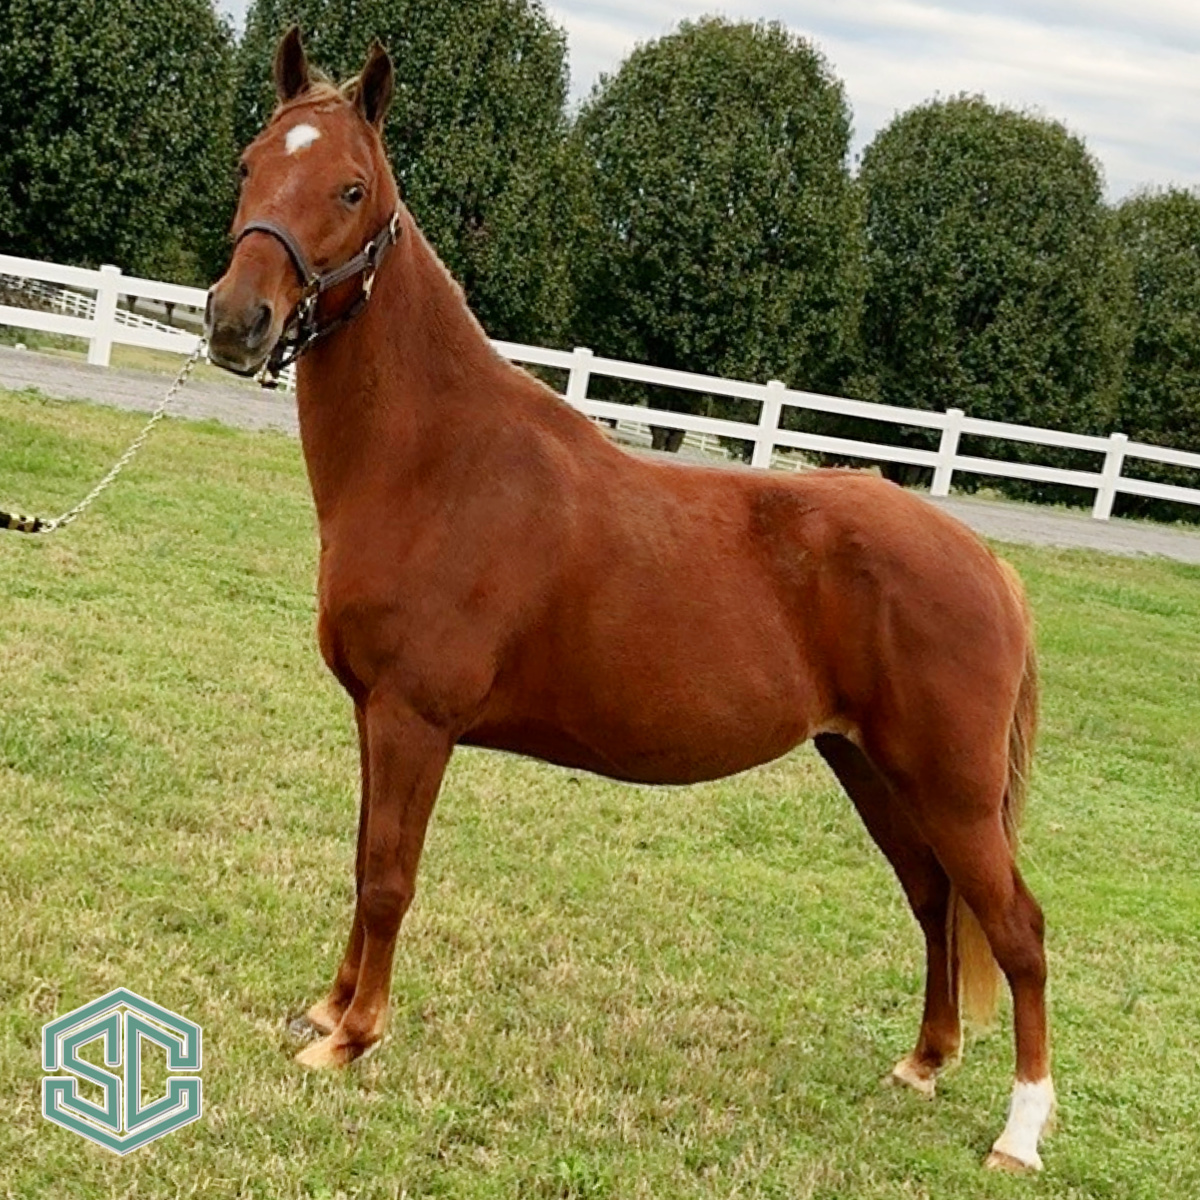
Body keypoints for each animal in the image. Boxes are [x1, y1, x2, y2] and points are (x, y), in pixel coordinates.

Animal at [205, 27, 1053, 1173]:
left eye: (349, 186)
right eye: (252, 162)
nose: (236, 321)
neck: (438, 462)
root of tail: (988, 564)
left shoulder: (414, 720)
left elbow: (388, 876)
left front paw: (351, 1039)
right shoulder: (374, 718)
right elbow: (361, 861)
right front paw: (330, 1009)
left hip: (952, 789)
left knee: (1017, 929)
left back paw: (1021, 1132)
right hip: (874, 769)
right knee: (933, 901)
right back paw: (922, 1065)